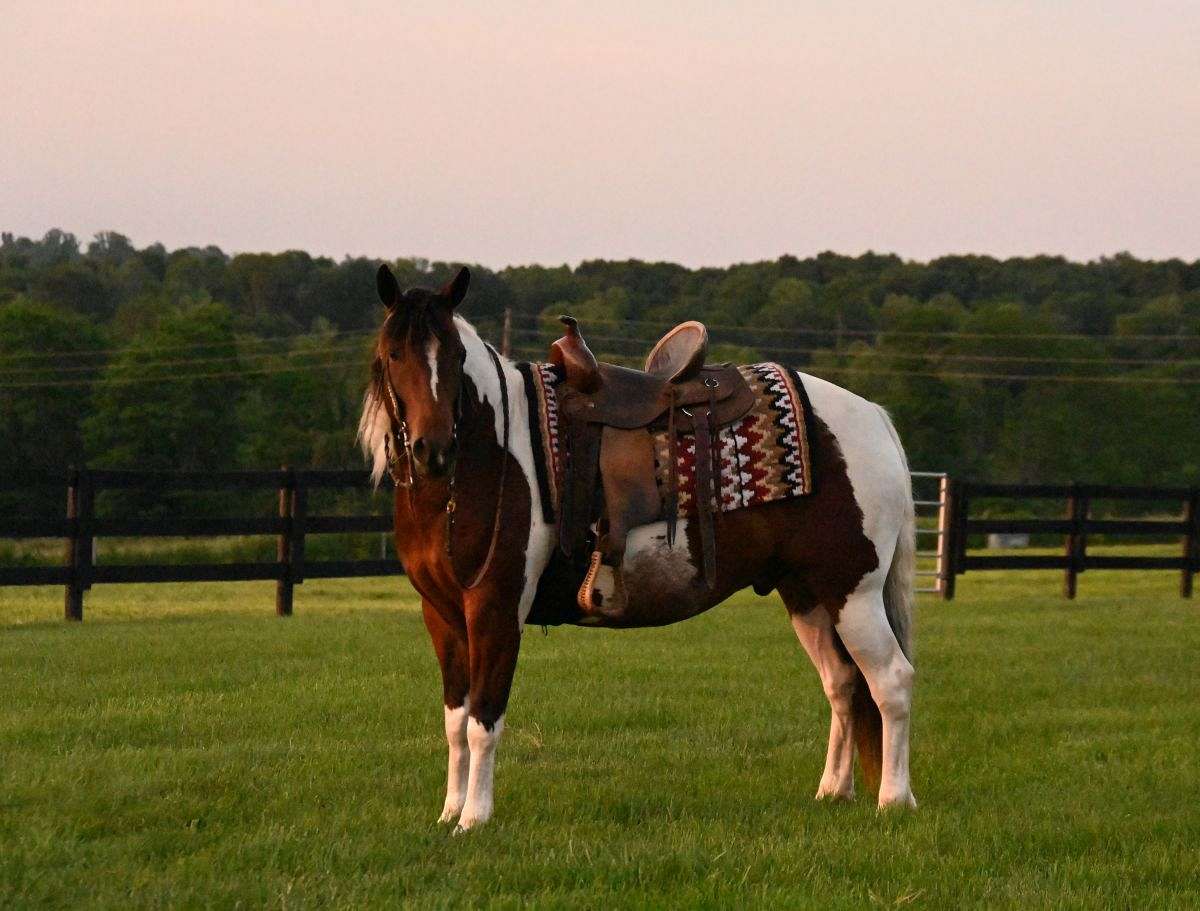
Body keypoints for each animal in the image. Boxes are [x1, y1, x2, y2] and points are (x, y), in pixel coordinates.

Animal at [358, 264, 917, 832]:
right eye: (393, 354)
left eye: (453, 355)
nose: (431, 450)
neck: (490, 455)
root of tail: (873, 417)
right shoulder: (443, 615)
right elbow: (454, 721)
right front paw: (449, 811)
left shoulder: (495, 607)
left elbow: (482, 720)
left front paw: (474, 818)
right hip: (807, 594)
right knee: (843, 684)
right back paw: (833, 790)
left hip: (854, 591)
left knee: (890, 681)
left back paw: (894, 799)